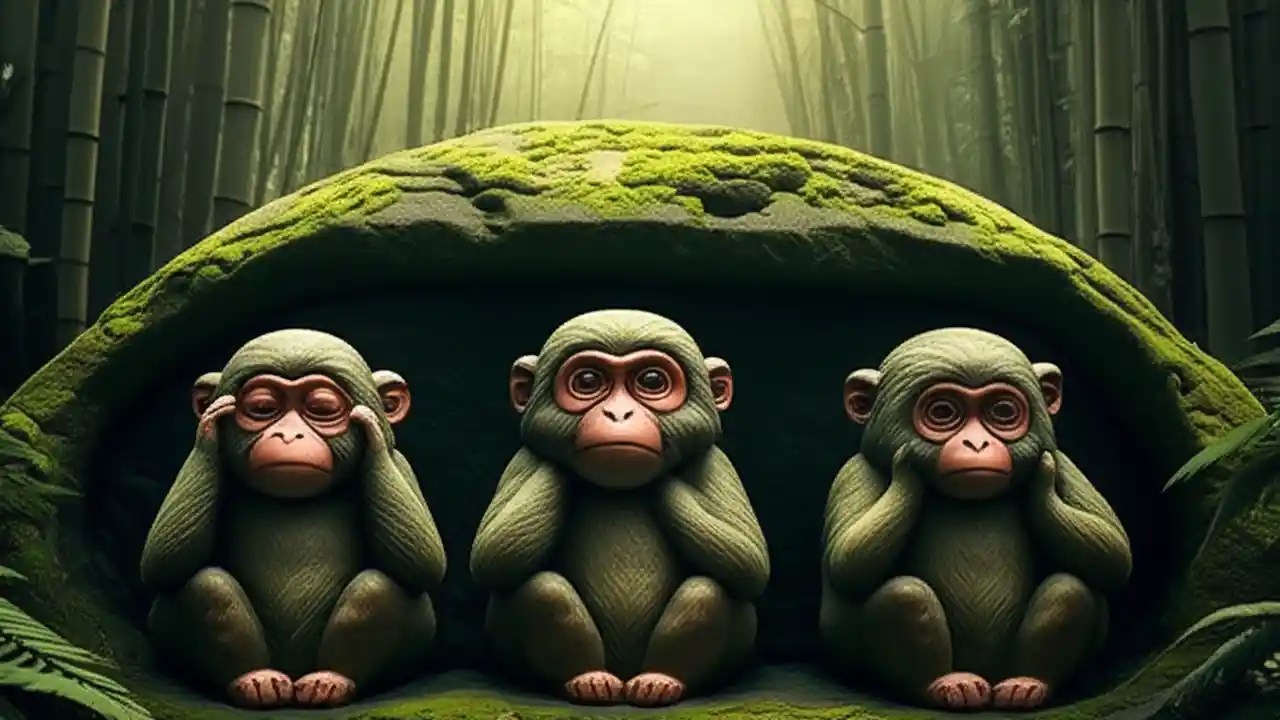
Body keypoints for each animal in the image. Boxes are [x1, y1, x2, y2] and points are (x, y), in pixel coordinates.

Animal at [139, 329, 446, 710]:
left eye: (323, 408)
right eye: (261, 408)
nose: (288, 434)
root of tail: (294, 675)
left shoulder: (403, 466)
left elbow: (424, 562)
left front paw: (371, 425)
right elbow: (163, 562)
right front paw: (211, 421)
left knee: (380, 586)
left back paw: (329, 682)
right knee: (206, 585)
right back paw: (256, 680)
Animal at [470, 309, 769, 709]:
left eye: (652, 381)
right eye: (588, 381)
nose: (618, 413)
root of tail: (624, 675)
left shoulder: (719, 464)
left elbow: (749, 561)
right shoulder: (523, 460)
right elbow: (494, 556)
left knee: (707, 591)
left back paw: (660, 681)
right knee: (542, 588)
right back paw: (588, 680)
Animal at [819, 328, 1132, 712]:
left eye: (1003, 411)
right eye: (942, 412)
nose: (977, 444)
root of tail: (988, 673)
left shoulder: (1068, 465)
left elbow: (1113, 554)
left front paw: (1039, 476)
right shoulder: (852, 472)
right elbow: (848, 560)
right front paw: (907, 467)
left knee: (1069, 590)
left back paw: (1026, 684)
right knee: (904, 596)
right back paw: (949, 684)